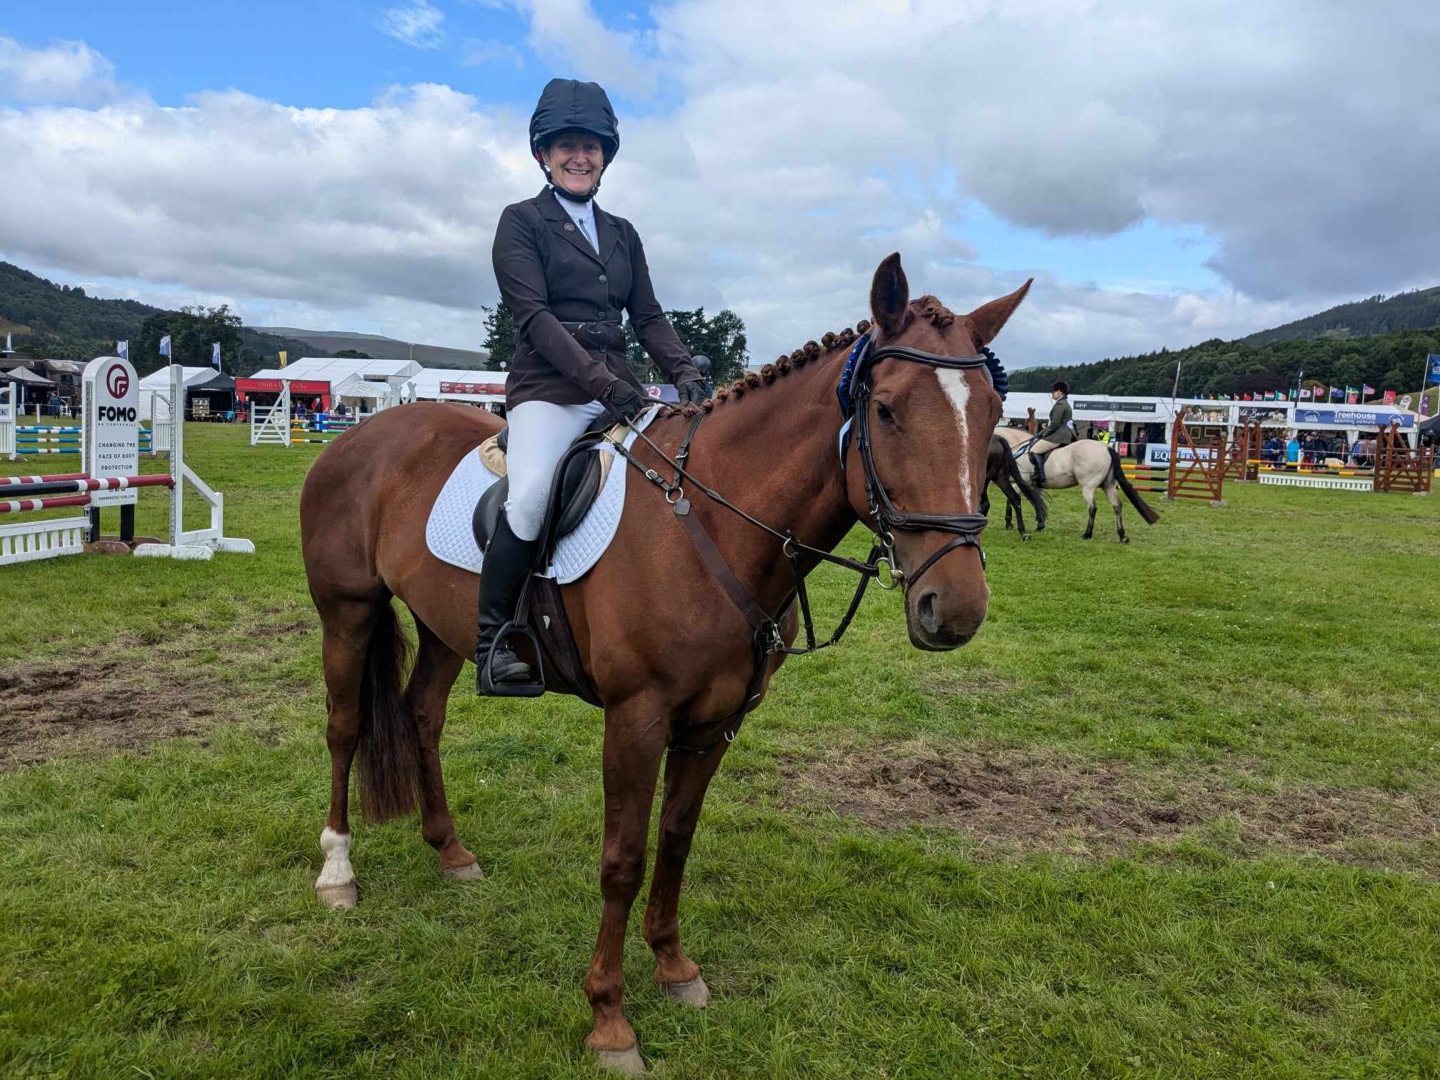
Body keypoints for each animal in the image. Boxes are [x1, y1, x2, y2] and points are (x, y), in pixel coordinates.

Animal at [299, 254, 1029, 1074]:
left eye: (993, 410)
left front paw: (676, 968)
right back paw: (338, 872)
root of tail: (361, 434)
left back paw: (450, 851)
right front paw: (610, 1019)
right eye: (888, 411)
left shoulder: (716, 724)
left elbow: (676, 838)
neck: (711, 520)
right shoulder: (637, 718)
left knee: (422, 715)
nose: (955, 608)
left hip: (444, 629)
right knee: (344, 726)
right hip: (348, 611)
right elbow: (623, 857)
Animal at [995, 427, 1159, 542]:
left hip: (1088, 486)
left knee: (1093, 508)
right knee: (1117, 506)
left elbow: (1011, 498)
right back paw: (1122, 536)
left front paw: (1009, 523)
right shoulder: (1033, 485)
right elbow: (1037, 501)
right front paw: (1040, 523)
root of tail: (1106, 448)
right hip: (1108, 485)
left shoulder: (1024, 481)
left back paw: (1087, 534)